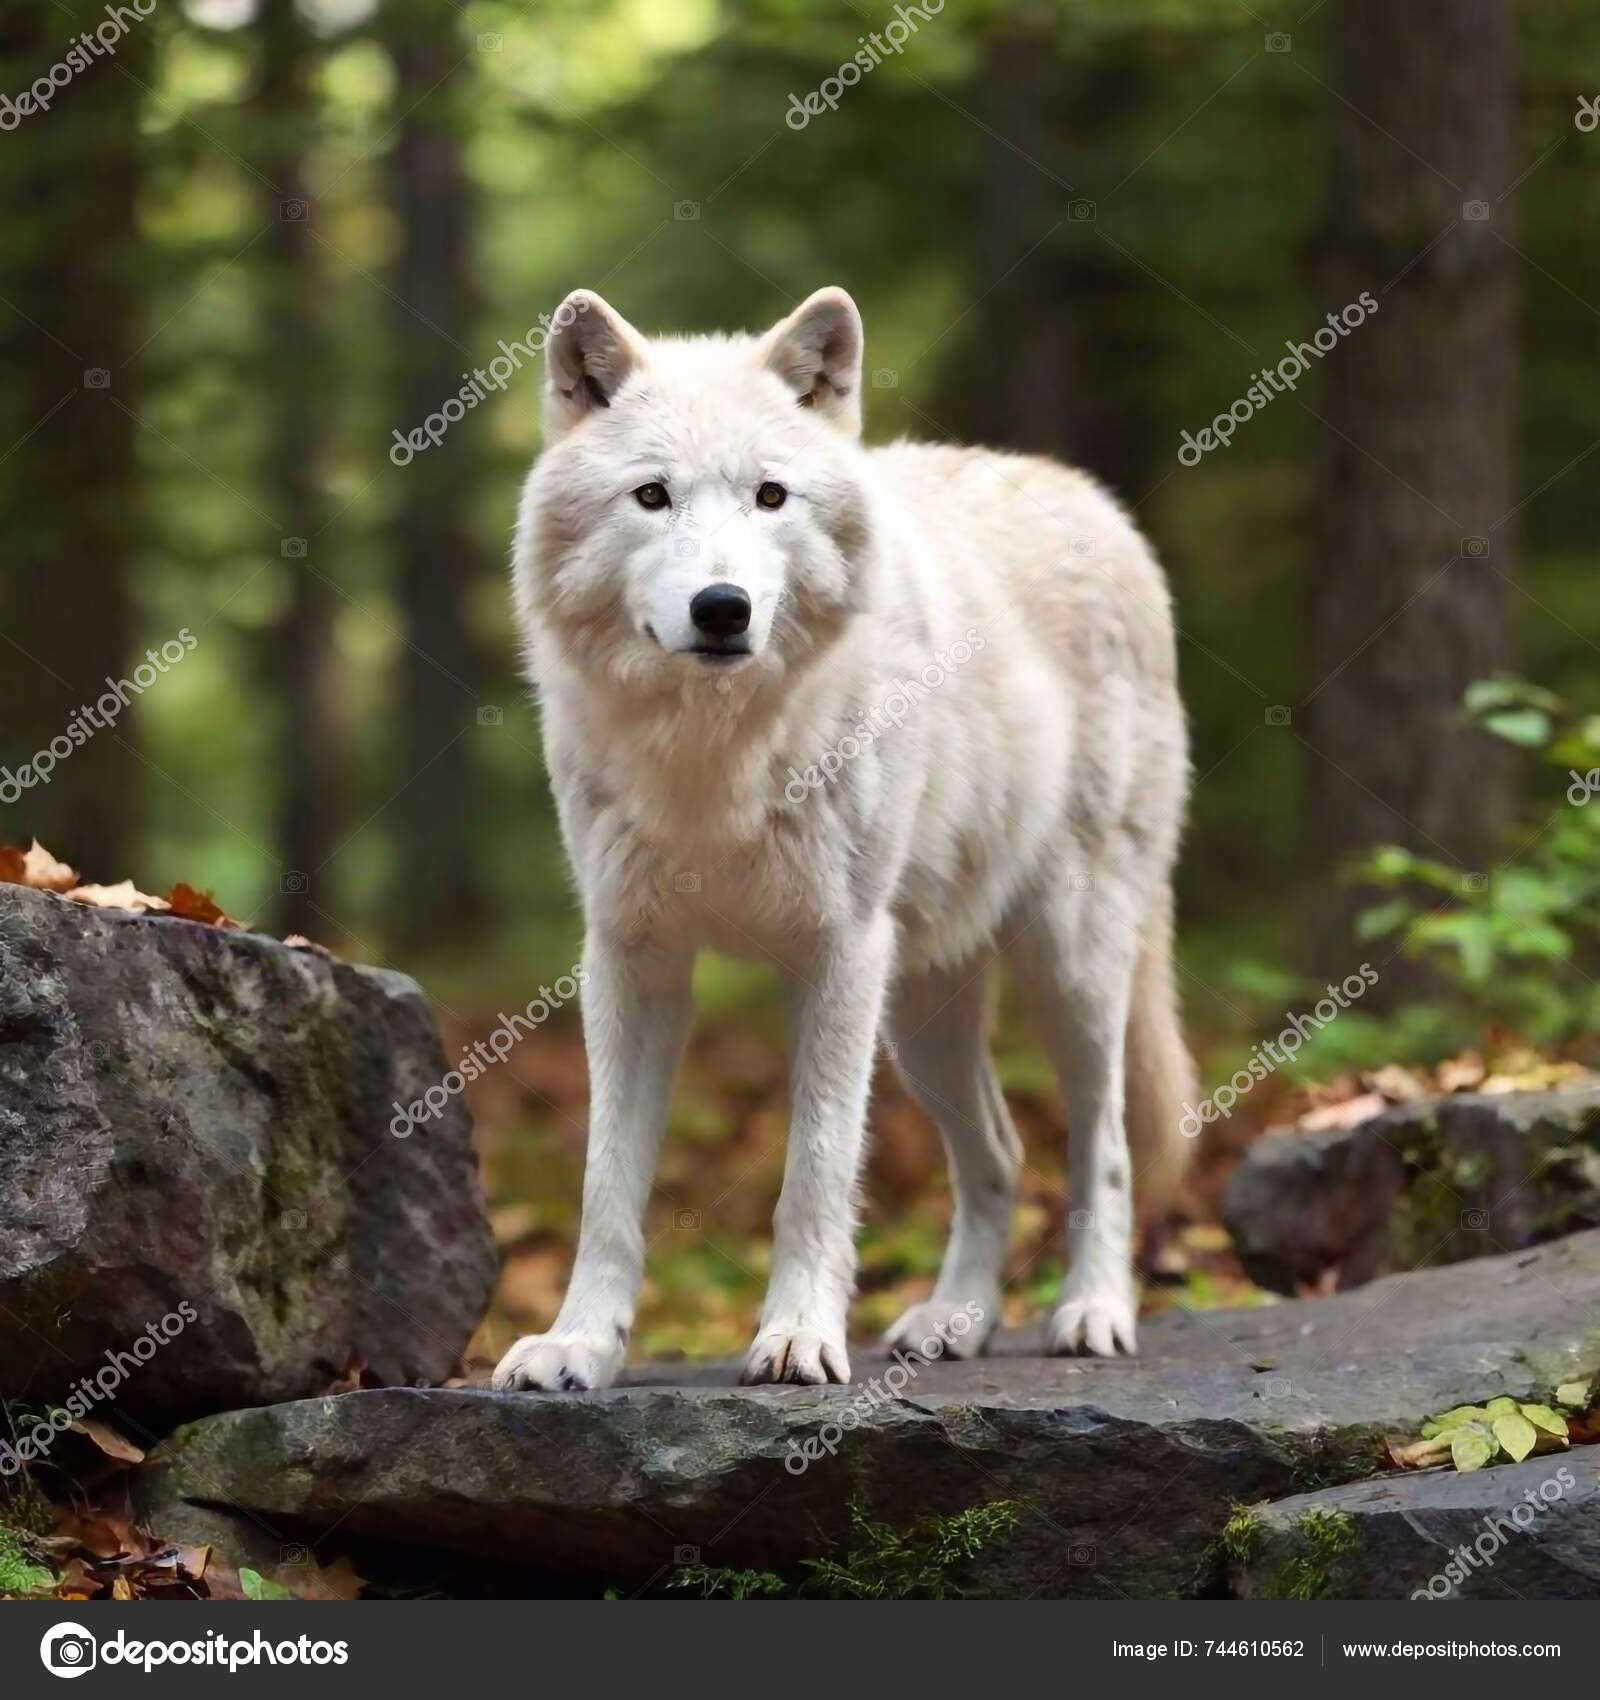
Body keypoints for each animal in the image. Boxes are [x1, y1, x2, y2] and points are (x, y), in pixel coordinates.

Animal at [491, 286, 1194, 1391]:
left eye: (771, 496)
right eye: (651, 496)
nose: (722, 608)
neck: (715, 758)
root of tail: (1098, 503)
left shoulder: (836, 954)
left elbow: (817, 1168)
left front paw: (795, 1337)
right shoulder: (629, 962)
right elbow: (607, 1183)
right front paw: (579, 1347)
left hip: (1066, 968)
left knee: (1105, 1147)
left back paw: (1092, 1311)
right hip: (921, 1015)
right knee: (1000, 1154)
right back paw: (954, 1322)